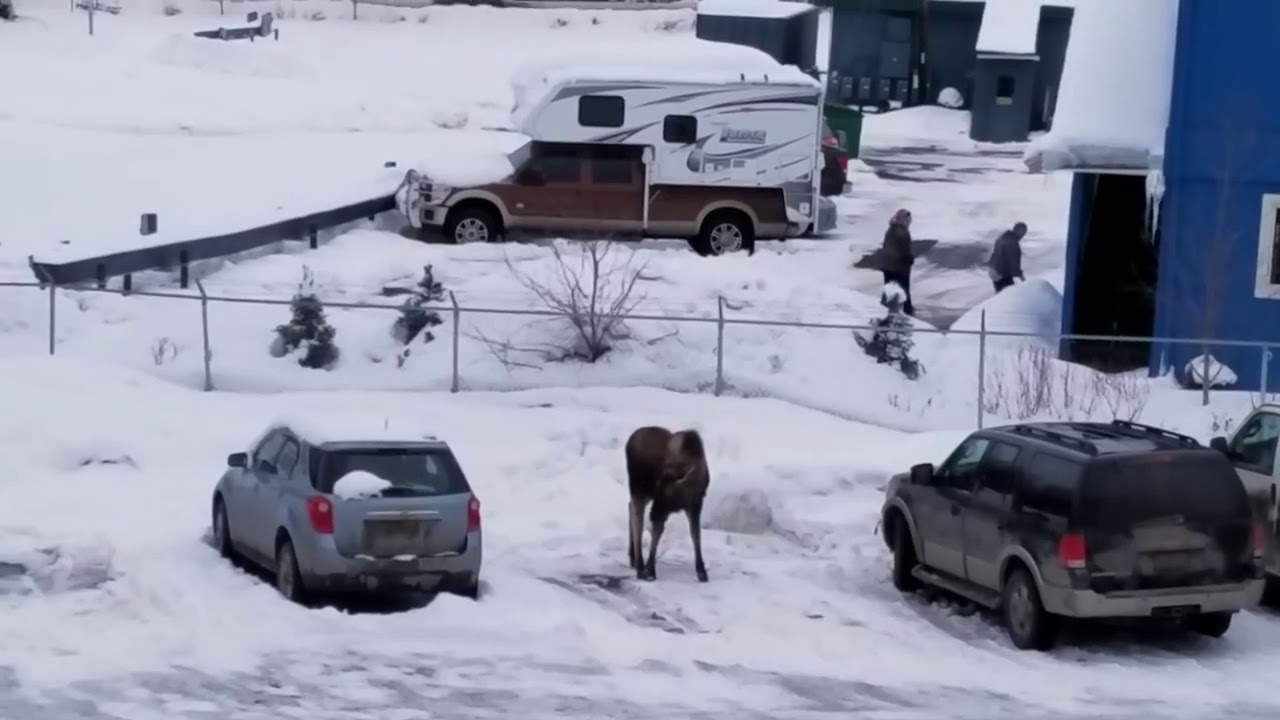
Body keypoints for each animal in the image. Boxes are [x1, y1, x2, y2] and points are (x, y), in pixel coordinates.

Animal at [625, 425, 710, 583]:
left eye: (667, 490)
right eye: (659, 482)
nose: (653, 515)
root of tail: (628, 442)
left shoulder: (695, 505)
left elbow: (696, 535)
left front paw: (701, 571)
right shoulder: (662, 508)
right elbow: (657, 532)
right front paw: (650, 569)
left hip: (646, 494)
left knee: (630, 507)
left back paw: (633, 558)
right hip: (638, 487)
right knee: (637, 518)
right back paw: (640, 566)